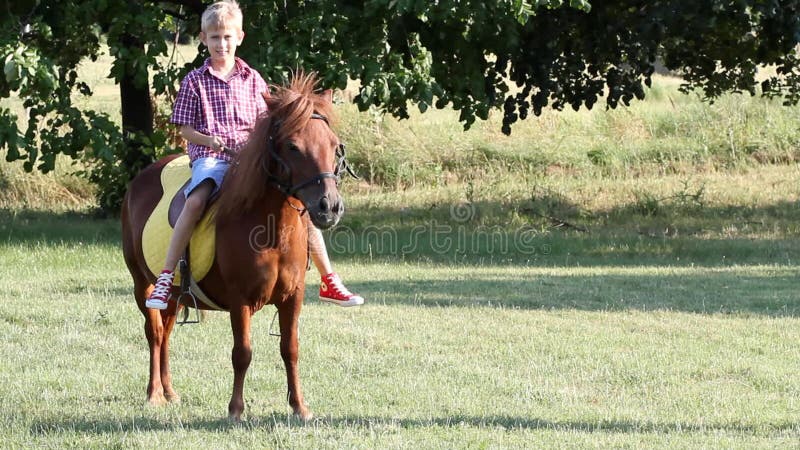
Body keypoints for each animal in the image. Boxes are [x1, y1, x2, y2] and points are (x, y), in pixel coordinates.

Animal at [121, 72, 350, 421]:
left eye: (334, 146)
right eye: (293, 147)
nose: (329, 207)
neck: (269, 228)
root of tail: (140, 179)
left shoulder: (293, 298)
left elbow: (290, 349)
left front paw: (300, 406)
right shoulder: (240, 300)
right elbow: (242, 352)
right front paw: (235, 410)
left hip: (175, 294)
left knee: (167, 331)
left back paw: (170, 391)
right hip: (142, 284)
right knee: (155, 332)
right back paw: (154, 393)